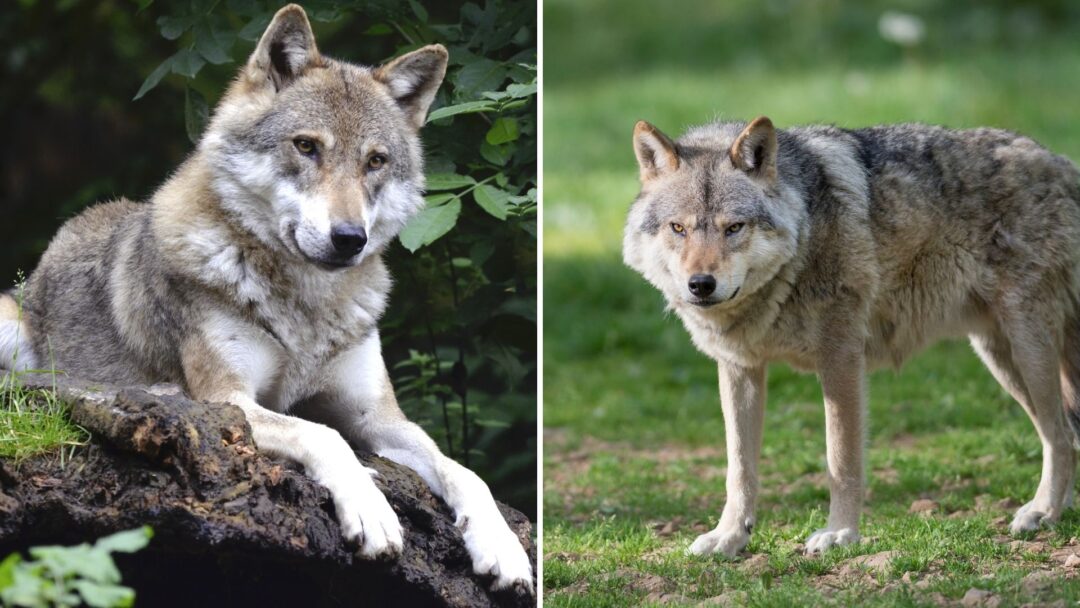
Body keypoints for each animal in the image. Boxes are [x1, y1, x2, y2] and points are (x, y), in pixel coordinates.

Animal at [0, 4, 532, 591]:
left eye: (375, 161)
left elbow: (463, 471)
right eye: (306, 146)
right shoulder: (229, 401)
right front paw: (371, 510)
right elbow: (324, 436)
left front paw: (503, 547)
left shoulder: (379, 418)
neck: (306, 307)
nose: (350, 238)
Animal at [624, 116, 1080, 556]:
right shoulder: (740, 369)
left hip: (1028, 353)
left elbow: (840, 459)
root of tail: (1061, 163)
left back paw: (1042, 511)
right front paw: (730, 537)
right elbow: (739, 467)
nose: (700, 284)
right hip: (1002, 360)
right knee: (1066, 434)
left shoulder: (841, 359)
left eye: (734, 227)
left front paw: (840, 533)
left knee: (1060, 436)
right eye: (678, 228)